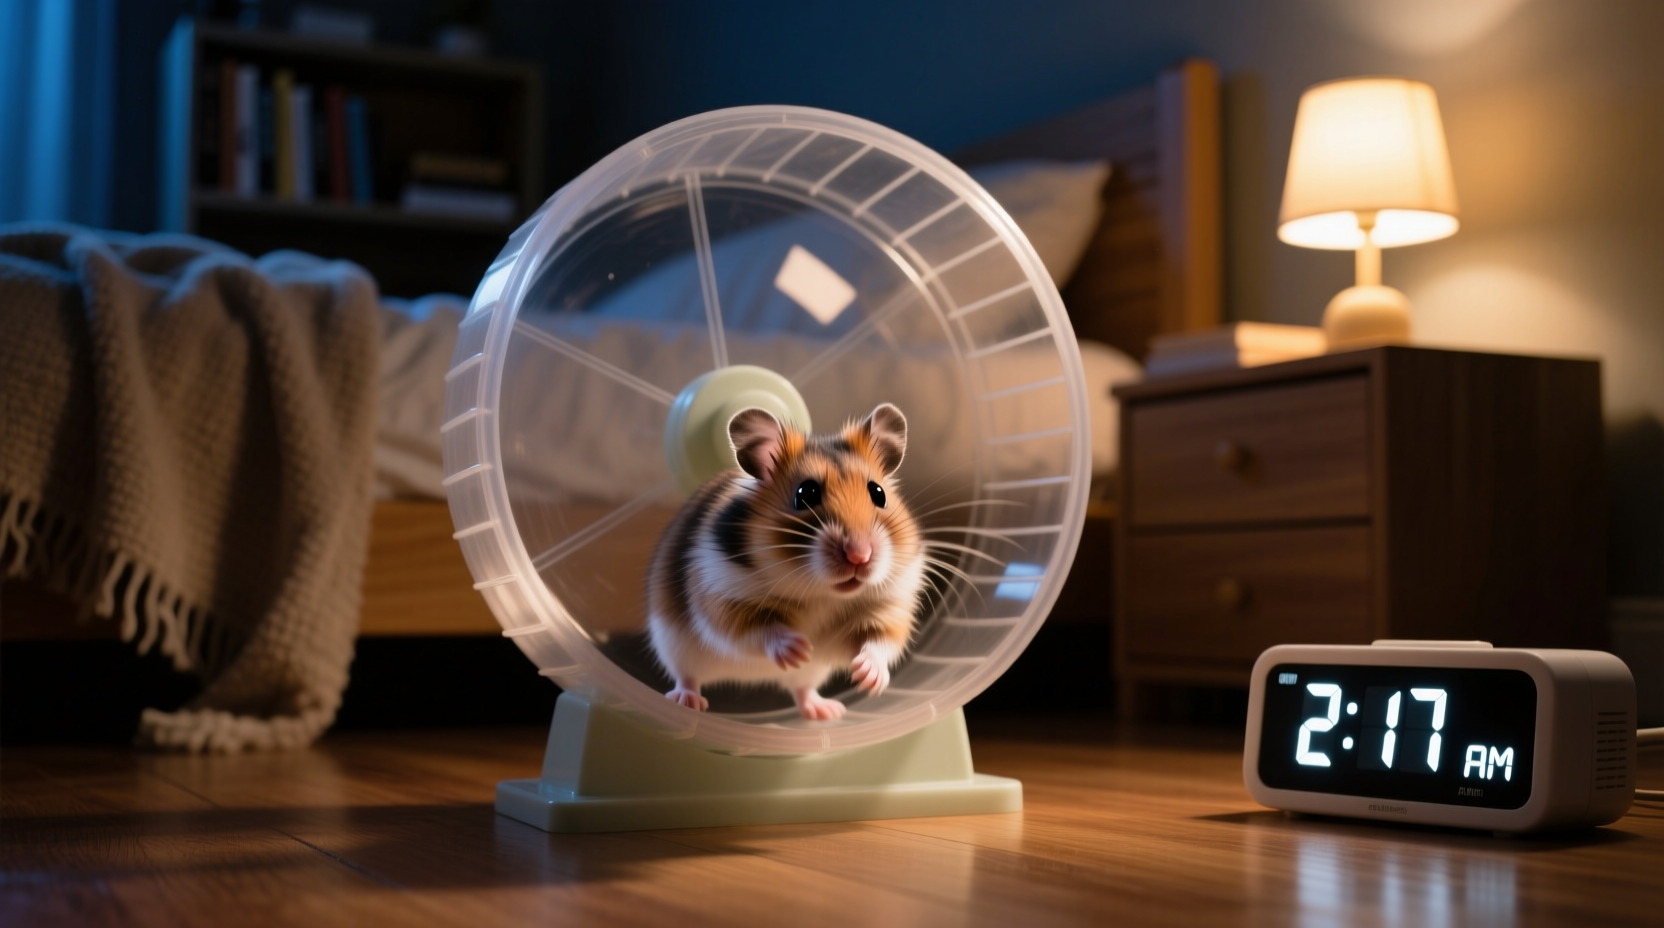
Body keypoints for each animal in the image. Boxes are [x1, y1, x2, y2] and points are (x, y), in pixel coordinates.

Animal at [646, 403, 926, 720]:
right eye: (805, 494)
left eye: (878, 493)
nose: (859, 555)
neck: (821, 593)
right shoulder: (722, 596)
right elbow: (759, 630)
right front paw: (797, 649)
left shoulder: (889, 607)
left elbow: (881, 641)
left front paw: (869, 679)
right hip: (674, 647)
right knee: (687, 677)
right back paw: (687, 702)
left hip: (811, 674)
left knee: (802, 690)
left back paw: (827, 711)